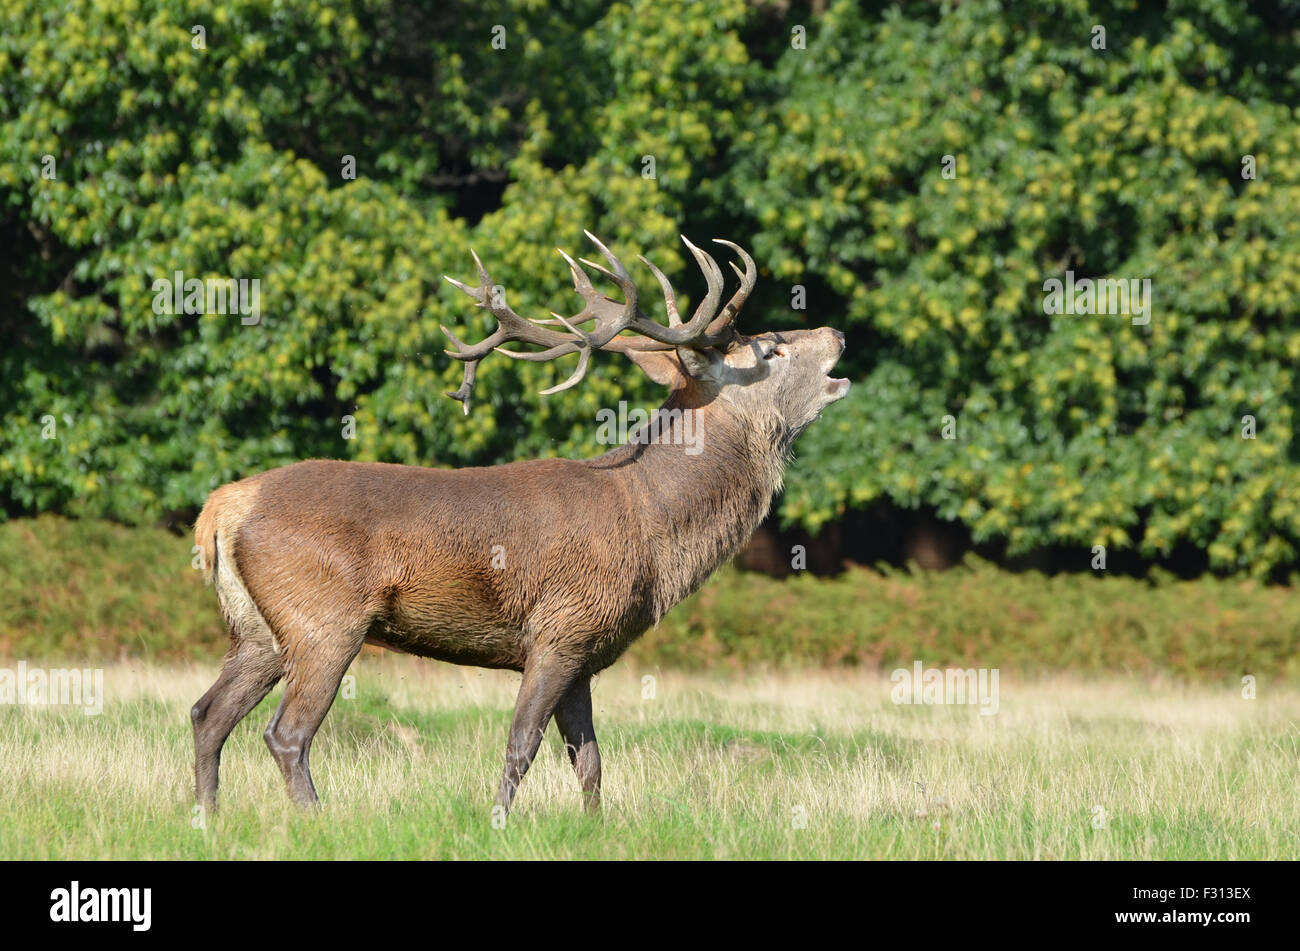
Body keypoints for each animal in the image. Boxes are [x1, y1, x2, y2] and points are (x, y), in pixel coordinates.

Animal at [190, 231, 849, 815]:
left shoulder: (586, 649)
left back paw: (207, 816)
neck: (652, 524)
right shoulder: (559, 628)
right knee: (287, 733)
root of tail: (222, 506)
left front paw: (593, 826)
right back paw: (314, 819)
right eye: (771, 349)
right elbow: (521, 745)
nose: (837, 333)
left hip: (257, 631)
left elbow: (590, 759)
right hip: (324, 619)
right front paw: (498, 821)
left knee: (207, 713)